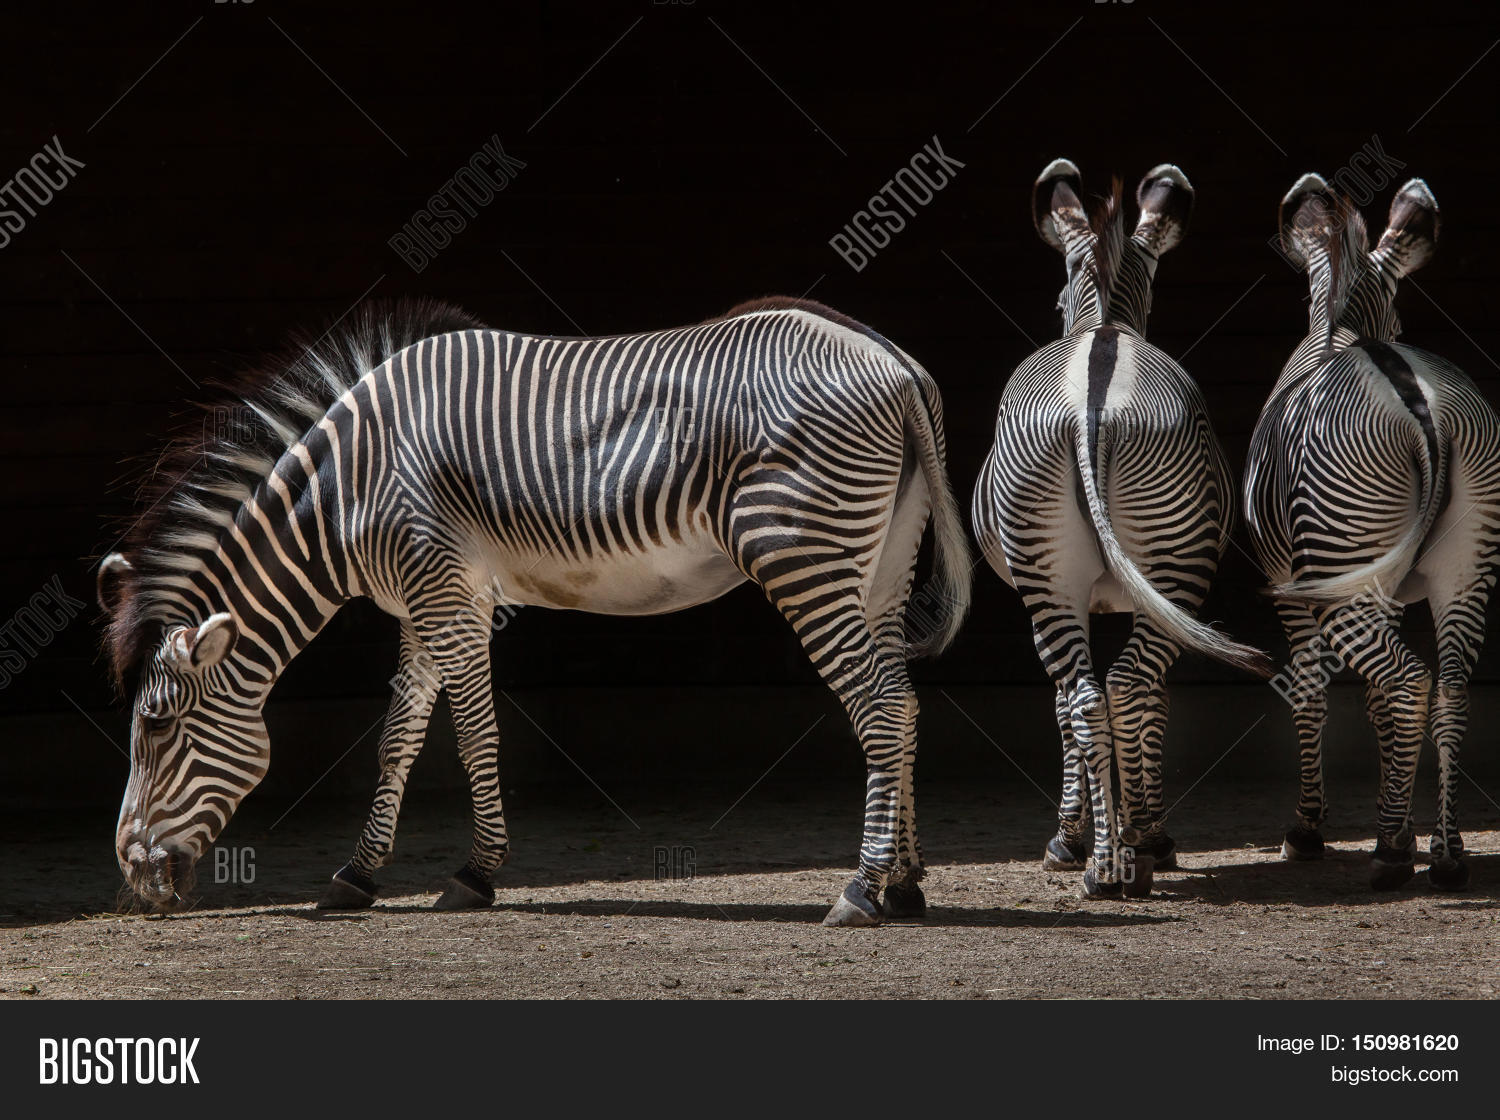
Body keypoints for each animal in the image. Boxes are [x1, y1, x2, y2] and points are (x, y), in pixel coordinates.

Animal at [96, 296, 971, 928]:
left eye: (157, 728)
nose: (133, 876)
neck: (346, 491)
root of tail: (897, 365)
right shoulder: (421, 605)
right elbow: (396, 741)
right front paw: (359, 872)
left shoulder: (447, 594)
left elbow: (475, 736)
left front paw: (477, 873)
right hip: (881, 564)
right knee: (904, 703)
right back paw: (905, 884)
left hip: (802, 555)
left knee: (881, 707)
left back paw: (860, 890)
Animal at [971, 159, 1267, 899]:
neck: (1105, 323)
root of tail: (1092, 391)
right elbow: (1142, 704)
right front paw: (1135, 831)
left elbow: (1070, 705)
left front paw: (1078, 835)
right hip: (1166, 567)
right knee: (1125, 689)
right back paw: (1126, 855)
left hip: (1060, 572)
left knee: (1093, 696)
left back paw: (1108, 863)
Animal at [1245, 174, 1500, 891]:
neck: (1348, 327)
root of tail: (1421, 402)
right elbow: (1377, 705)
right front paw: (1408, 827)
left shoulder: (1294, 590)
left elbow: (1312, 694)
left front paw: (1311, 831)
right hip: (1464, 567)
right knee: (1449, 689)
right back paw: (1447, 853)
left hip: (1341, 566)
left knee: (1411, 683)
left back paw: (1387, 854)